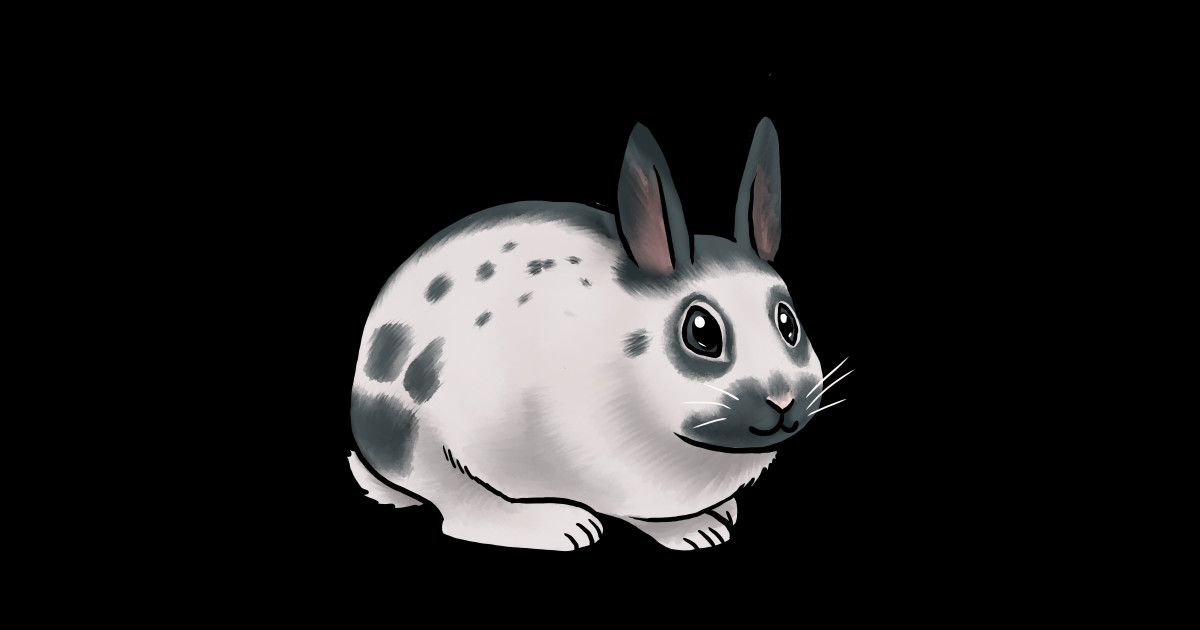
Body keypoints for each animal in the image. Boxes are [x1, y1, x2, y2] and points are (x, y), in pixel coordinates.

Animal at [347, 117, 827, 551]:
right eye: (702, 332)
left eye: (788, 323)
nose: (782, 400)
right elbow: (642, 516)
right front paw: (696, 531)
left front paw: (723, 511)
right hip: (423, 444)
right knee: (458, 512)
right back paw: (563, 528)